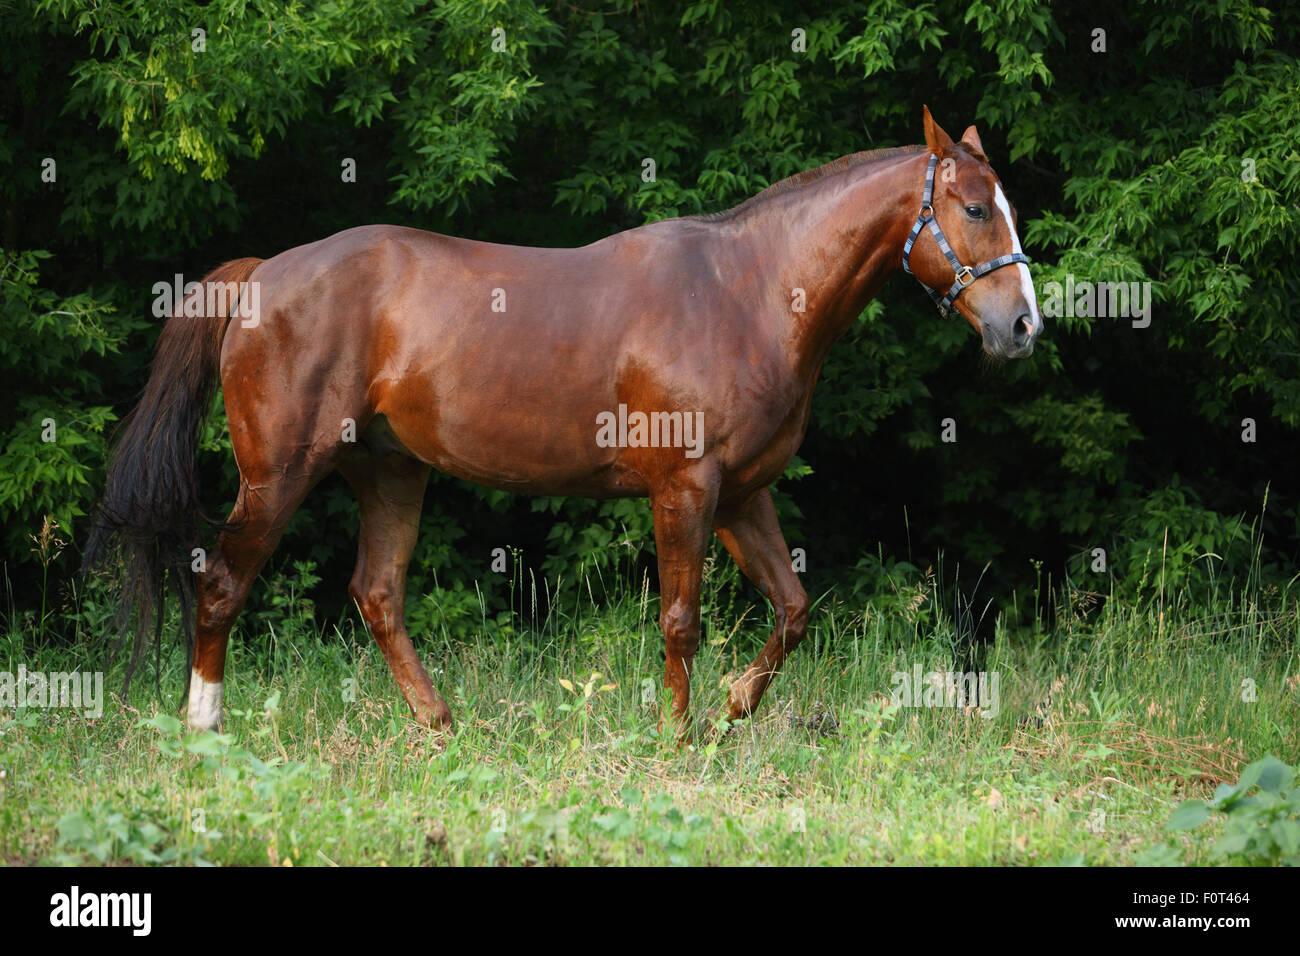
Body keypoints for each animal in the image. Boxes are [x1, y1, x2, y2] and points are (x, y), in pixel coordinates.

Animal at [86, 106, 1041, 737]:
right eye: (973, 207)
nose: (1024, 326)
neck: (748, 293)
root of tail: (261, 274)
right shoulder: (686, 489)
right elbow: (681, 619)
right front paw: (676, 738)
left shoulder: (742, 495)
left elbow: (794, 609)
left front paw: (732, 708)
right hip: (278, 474)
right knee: (221, 585)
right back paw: (206, 731)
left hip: (390, 471)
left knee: (377, 595)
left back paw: (441, 726)